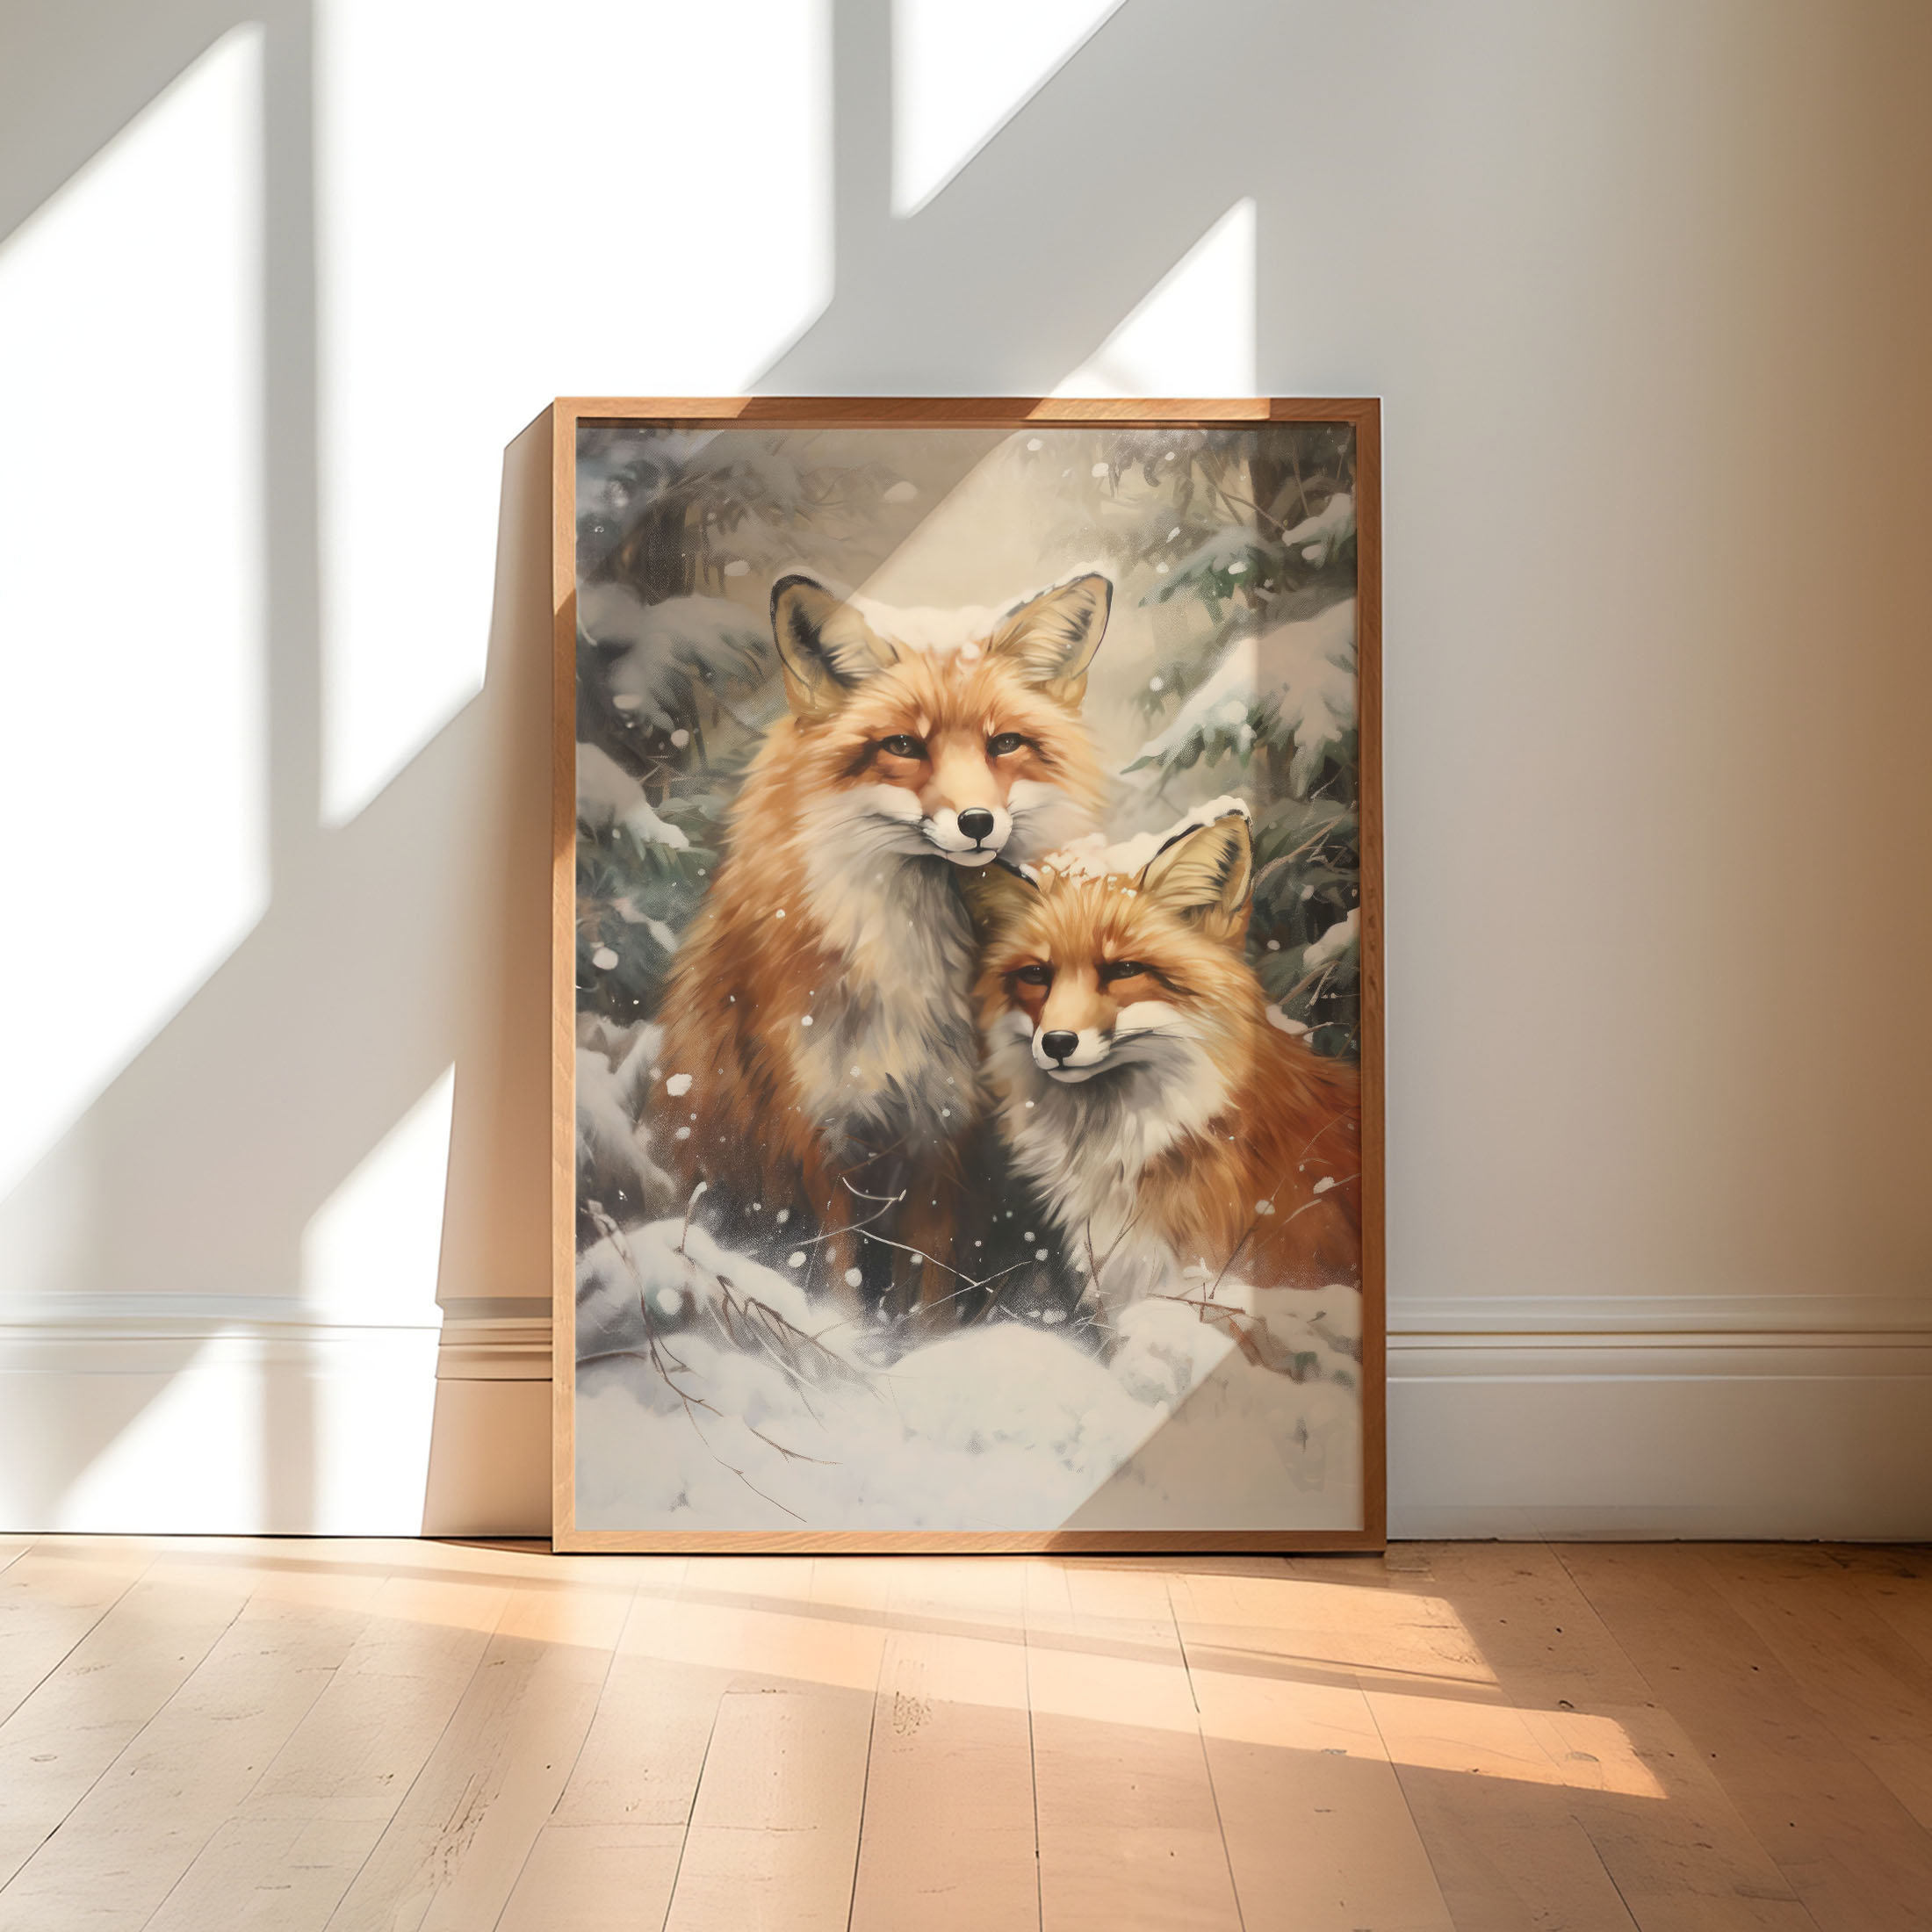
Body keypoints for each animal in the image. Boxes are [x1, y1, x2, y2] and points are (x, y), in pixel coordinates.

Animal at [654, 569, 1112, 1319]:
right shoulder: (822, 1132)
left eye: (1004, 744)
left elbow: (926, 1293)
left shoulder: (944, 1135)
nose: (978, 822)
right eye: (903, 746)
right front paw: (852, 1344)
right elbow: (839, 1281)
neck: (912, 971)